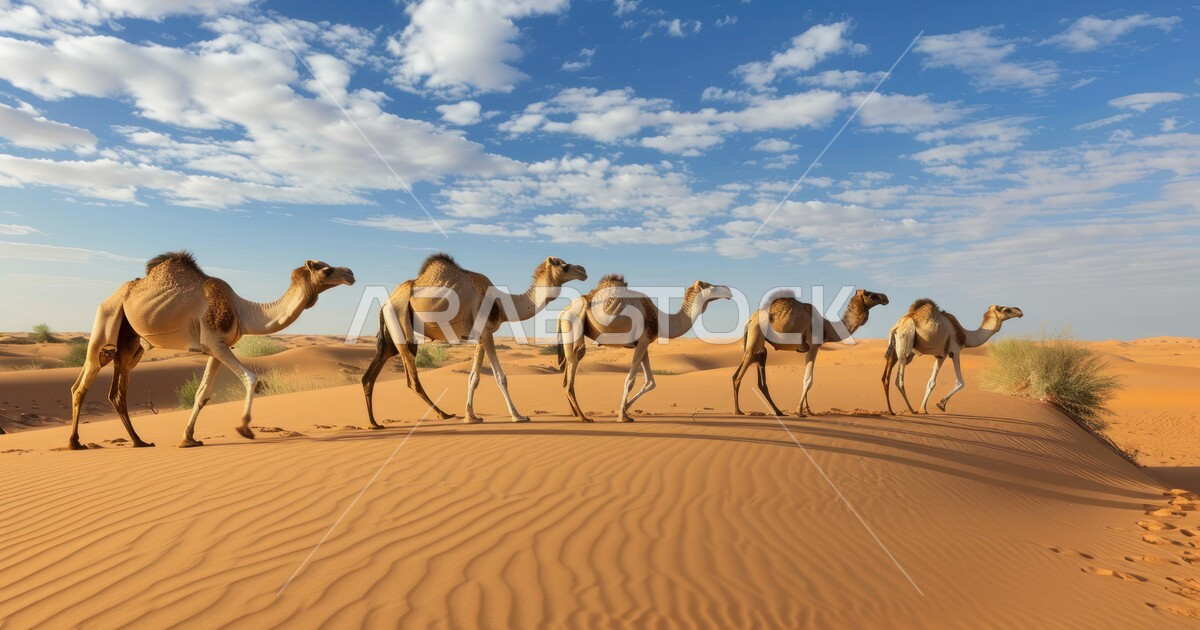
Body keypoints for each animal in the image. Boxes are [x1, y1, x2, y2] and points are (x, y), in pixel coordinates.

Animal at [68, 252, 355, 449]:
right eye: (327, 270)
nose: (351, 273)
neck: (243, 310)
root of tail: (112, 296)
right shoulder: (214, 342)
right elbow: (250, 377)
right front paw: (245, 429)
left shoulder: (218, 348)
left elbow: (202, 394)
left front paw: (188, 439)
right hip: (106, 321)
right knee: (82, 382)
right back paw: (75, 443)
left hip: (131, 341)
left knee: (118, 388)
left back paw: (140, 441)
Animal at [362, 253, 587, 426]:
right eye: (564, 265)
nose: (583, 270)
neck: (502, 304)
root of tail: (385, 302)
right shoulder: (487, 333)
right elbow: (500, 377)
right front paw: (518, 416)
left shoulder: (481, 334)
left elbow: (473, 378)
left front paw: (471, 417)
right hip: (400, 324)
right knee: (412, 380)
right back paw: (444, 414)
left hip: (391, 333)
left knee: (373, 371)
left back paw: (375, 423)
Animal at [556, 275, 733, 422]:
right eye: (709, 285)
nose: (728, 290)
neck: (659, 319)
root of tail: (562, 312)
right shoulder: (642, 341)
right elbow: (630, 380)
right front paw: (622, 416)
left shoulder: (644, 343)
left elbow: (650, 381)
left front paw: (625, 410)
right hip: (574, 322)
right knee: (576, 358)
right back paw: (584, 417)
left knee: (568, 367)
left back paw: (576, 413)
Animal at [732, 289, 890, 417]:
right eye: (870, 294)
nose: (885, 297)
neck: (827, 327)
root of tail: (750, 319)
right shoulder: (814, 346)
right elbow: (809, 380)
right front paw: (799, 411)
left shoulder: (807, 349)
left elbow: (805, 377)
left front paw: (808, 410)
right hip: (755, 336)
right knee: (738, 376)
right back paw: (738, 411)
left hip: (759, 346)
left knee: (756, 374)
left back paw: (778, 412)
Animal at [882, 299, 1024, 414]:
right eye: (1003, 308)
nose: (1019, 310)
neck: (966, 336)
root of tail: (896, 327)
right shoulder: (954, 351)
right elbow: (960, 382)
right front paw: (941, 404)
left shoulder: (940, 355)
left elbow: (931, 382)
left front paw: (924, 409)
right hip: (906, 342)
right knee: (899, 381)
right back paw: (911, 409)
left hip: (897, 350)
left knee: (886, 377)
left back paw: (892, 411)